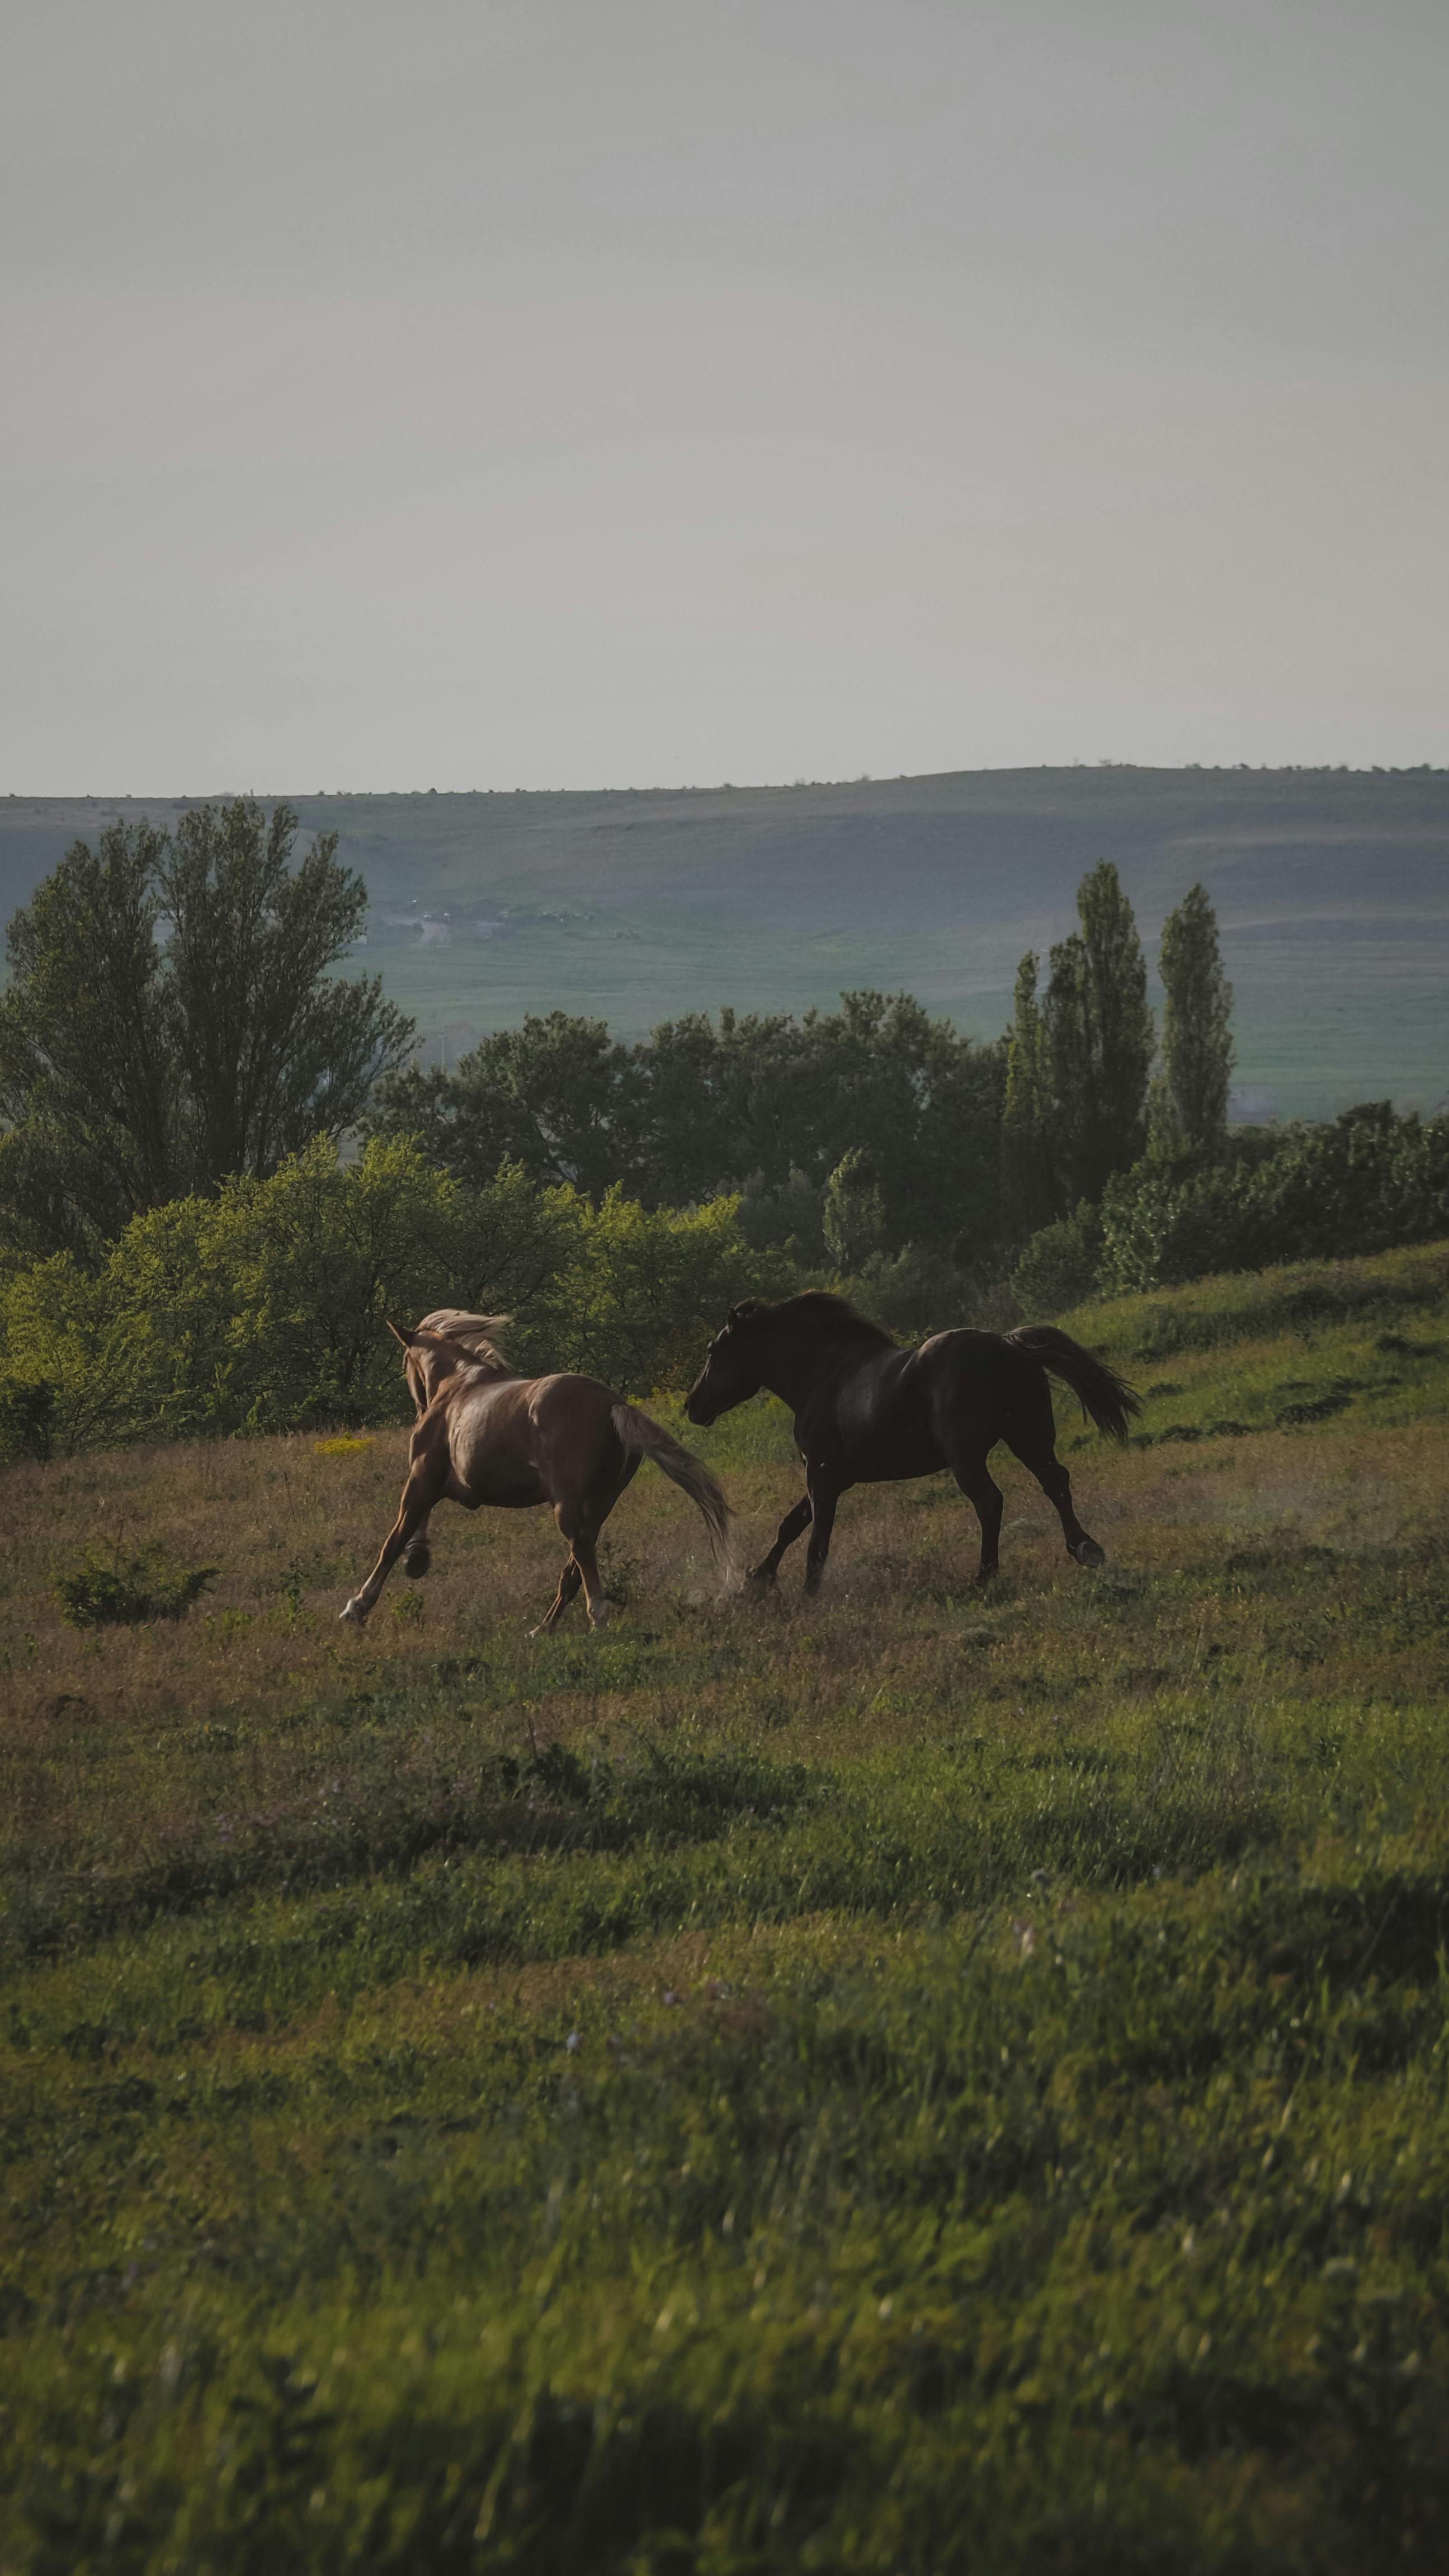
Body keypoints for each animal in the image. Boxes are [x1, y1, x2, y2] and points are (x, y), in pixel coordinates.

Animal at [340, 1310, 733, 1632]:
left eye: (406, 1364)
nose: (419, 1408)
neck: (457, 1387)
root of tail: (613, 1405)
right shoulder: (438, 1486)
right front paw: (418, 1558)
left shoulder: (422, 1481)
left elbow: (393, 1543)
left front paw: (358, 1606)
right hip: (601, 1503)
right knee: (574, 1565)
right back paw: (544, 1628)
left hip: (567, 1504)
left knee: (580, 1552)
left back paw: (597, 1618)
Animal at [684, 1292, 1138, 1592]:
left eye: (713, 1350)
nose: (692, 1406)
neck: (823, 1376)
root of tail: (1004, 1344)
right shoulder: (835, 1477)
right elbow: (792, 1524)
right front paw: (757, 1579)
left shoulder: (822, 1475)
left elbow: (816, 1538)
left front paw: (808, 1594)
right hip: (1029, 1438)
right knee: (1055, 1483)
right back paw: (1085, 1549)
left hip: (967, 1456)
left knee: (990, 1502)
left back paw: (983, 1577)